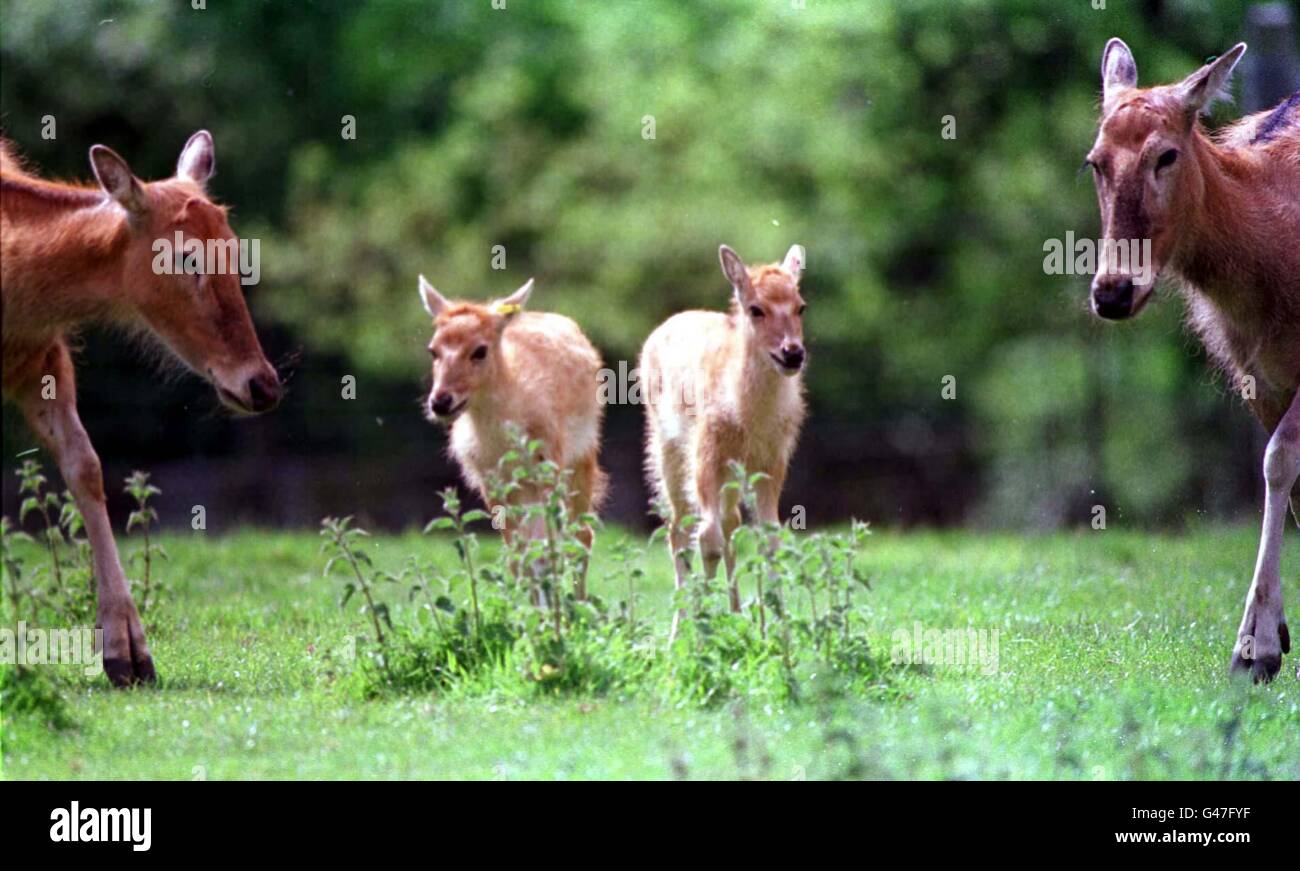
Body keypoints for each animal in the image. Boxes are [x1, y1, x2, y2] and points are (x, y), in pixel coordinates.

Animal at [1, 131, 282, 687]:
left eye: (237, 249)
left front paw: (126, 653)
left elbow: (86, 466)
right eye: (185, 257)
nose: (262, 384)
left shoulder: (42, 357)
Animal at [418, 275, 606, 601]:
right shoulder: (490, 481)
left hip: (582, 457)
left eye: (480, 350)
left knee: (581, 536)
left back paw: (580, 603)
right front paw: (530, 611)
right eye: (433, 350)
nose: (440, 402)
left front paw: (553, 613)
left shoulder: (550, 464)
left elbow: (546, 550)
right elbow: (519, 556)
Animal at [640, 244, 807, 637]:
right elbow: (708, 540)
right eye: (755, 308)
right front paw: (702, 631)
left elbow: (770, 539)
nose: (793, 352)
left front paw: (778, 628)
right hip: (666, 447)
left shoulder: (772, 460)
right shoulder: (706, 451)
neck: (746, 414)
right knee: (679, 528)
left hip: (731, 471)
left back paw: (735, 613)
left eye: (801, 306)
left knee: (730, 521)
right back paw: (678, 629)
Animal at [1087, 39, 1300, 681]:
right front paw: (1268, 643)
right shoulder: (1259, 376)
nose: (1112, 290)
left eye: (1166, 155)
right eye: (1094, 161)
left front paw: (1257, 647)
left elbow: (1278, 462)